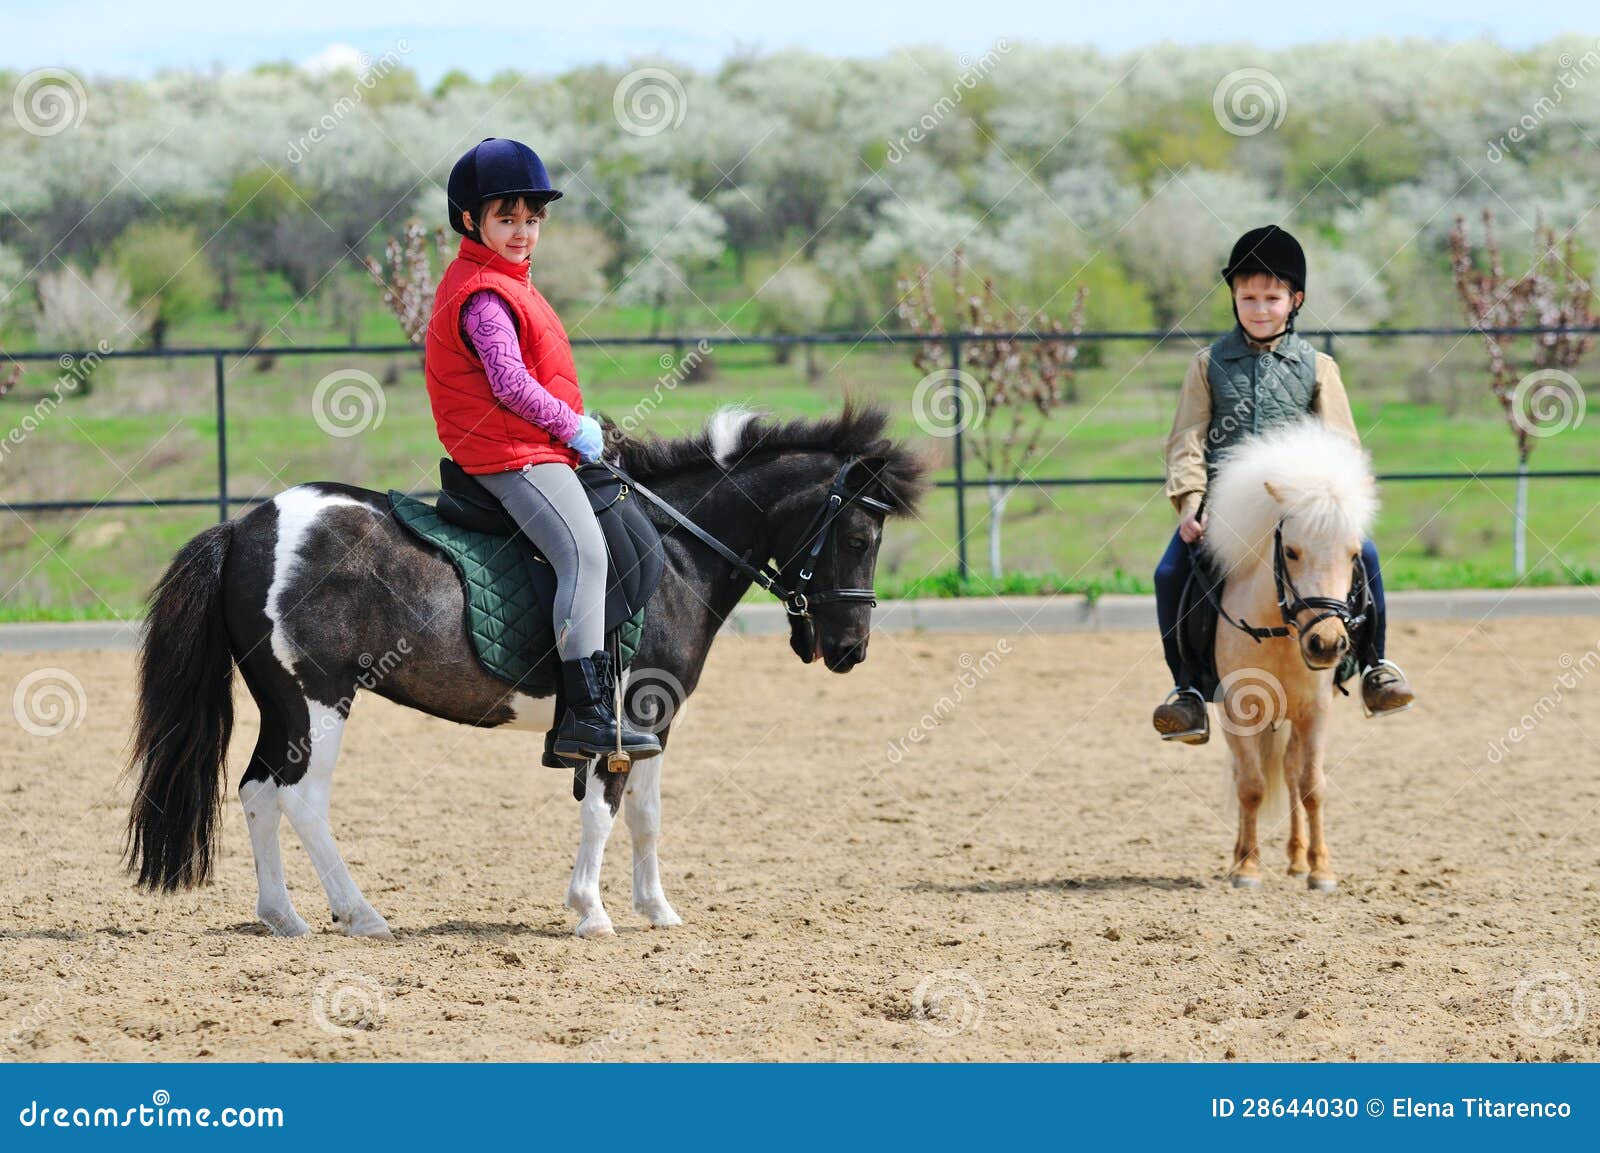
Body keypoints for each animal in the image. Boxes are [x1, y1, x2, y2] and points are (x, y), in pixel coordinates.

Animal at [124, 402, 927, 939]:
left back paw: (283, 915)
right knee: (303, 799)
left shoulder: (656, 721)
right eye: (859, 536)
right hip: (321, 699)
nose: (850, 648)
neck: (678, 551)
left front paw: (657, 909)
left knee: (258, 791)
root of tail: (247, 525)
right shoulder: (624, 718)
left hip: (284, 703)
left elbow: (646, 816)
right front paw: (591, 911)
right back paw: (361, 912)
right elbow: (603, 811)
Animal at [1199, 418, 1377, 892]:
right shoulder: (1238, 710)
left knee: (1293, 771)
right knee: (1247, 774)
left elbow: (1312, 784)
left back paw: (1298, 859)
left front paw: (1321, 870)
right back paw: (1241, 856)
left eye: (1354, 554)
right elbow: (1251, 786)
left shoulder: (1315, 710)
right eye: (1292, 551)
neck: (1278, 632)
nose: (1327, 643)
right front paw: (1246, 868)